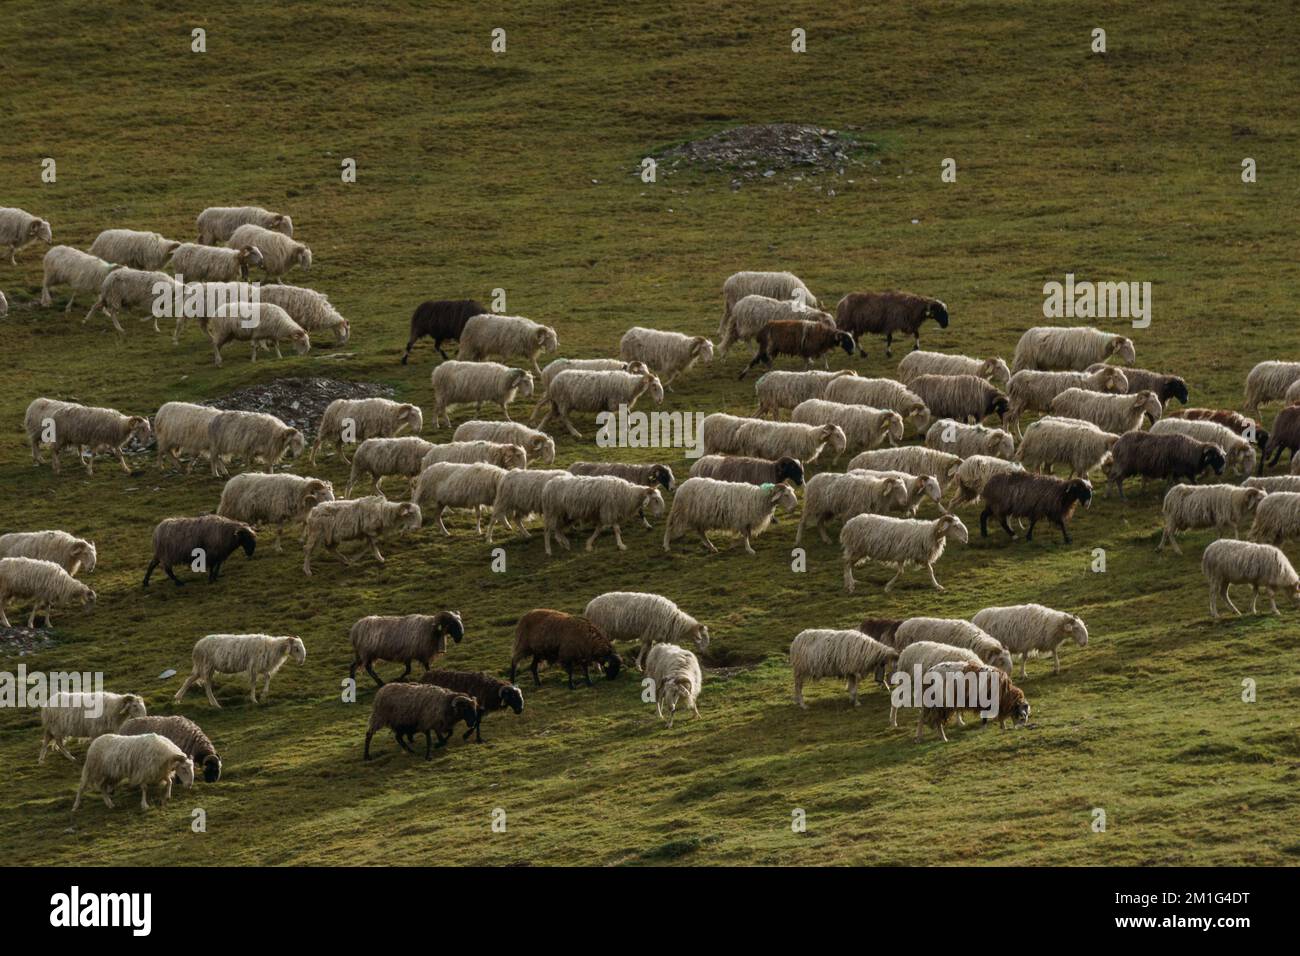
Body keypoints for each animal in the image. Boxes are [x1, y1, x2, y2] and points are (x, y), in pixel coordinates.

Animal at [173, 633, 306, 707]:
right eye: (296, 648)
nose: (302, 661)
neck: (273, 647)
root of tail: (197, 646)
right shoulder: (254, 666)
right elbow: (253, 683)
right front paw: (254, 699)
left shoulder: (261, 666)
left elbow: (268, 676)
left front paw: (263, 694)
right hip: (206, 665)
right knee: (206, 685)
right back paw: (215, 703)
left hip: (204, 667)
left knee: (190, 679)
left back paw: (178, 698)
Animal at [534, 369, 664, 438]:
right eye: (654, 386)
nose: (660, 400)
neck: (630, 385)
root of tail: (553, 382)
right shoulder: (612, 403)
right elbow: (608, 418)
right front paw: (606, 433)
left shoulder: (619, 404)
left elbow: (628, 414)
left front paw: (627, 429)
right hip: (564, 401)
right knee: (563, 417)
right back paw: (575, 433)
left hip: (557, 403)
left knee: (548, 416)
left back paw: (538, 429)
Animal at [663, 478, 797, 555]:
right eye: (786, 495)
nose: (795, 506)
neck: (758, 498)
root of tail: (683, 485)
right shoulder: (742, 520)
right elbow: (746, 536)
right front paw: (749, 549)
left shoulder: (746, 521)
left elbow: (746, 535)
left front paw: (739, 545)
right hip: (680, 511)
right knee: (669, 527)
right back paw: (666, 546)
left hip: (700, 516)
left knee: (701, 532)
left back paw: (711, 547)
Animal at [839, 512, 967, 593]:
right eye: (955, 526)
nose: (966, 539)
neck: (930, 532)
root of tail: (848, 524)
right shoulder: (901, 554)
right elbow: (901, 572)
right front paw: (888, 587)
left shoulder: (921, 555)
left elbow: (930, 570)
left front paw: (937, 586)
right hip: (857, 548)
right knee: (846, 563)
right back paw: (850, 586)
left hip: (859, 550)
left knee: (848, 564)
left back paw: (849, 583)